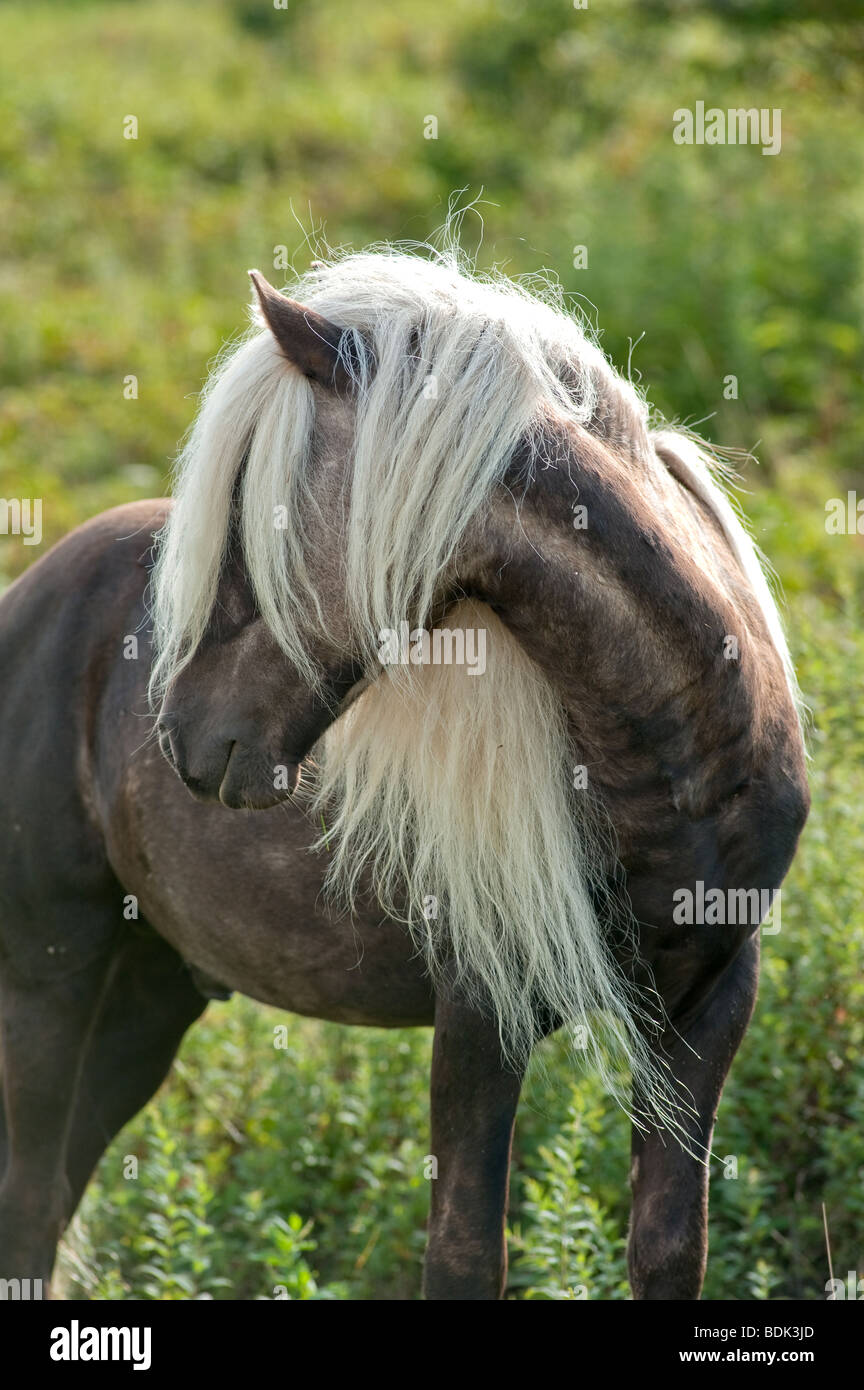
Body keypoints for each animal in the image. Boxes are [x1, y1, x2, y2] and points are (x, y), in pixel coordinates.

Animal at [0, 247, 809, 1300]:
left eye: (247, 510)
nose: (178, 736)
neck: (680, 771)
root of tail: (28, 597)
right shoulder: (481, 1015)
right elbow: (465, 1255)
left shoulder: (710, 1002)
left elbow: (670, 1250)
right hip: (49, 977)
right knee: (27, 1204)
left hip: (149, 991)